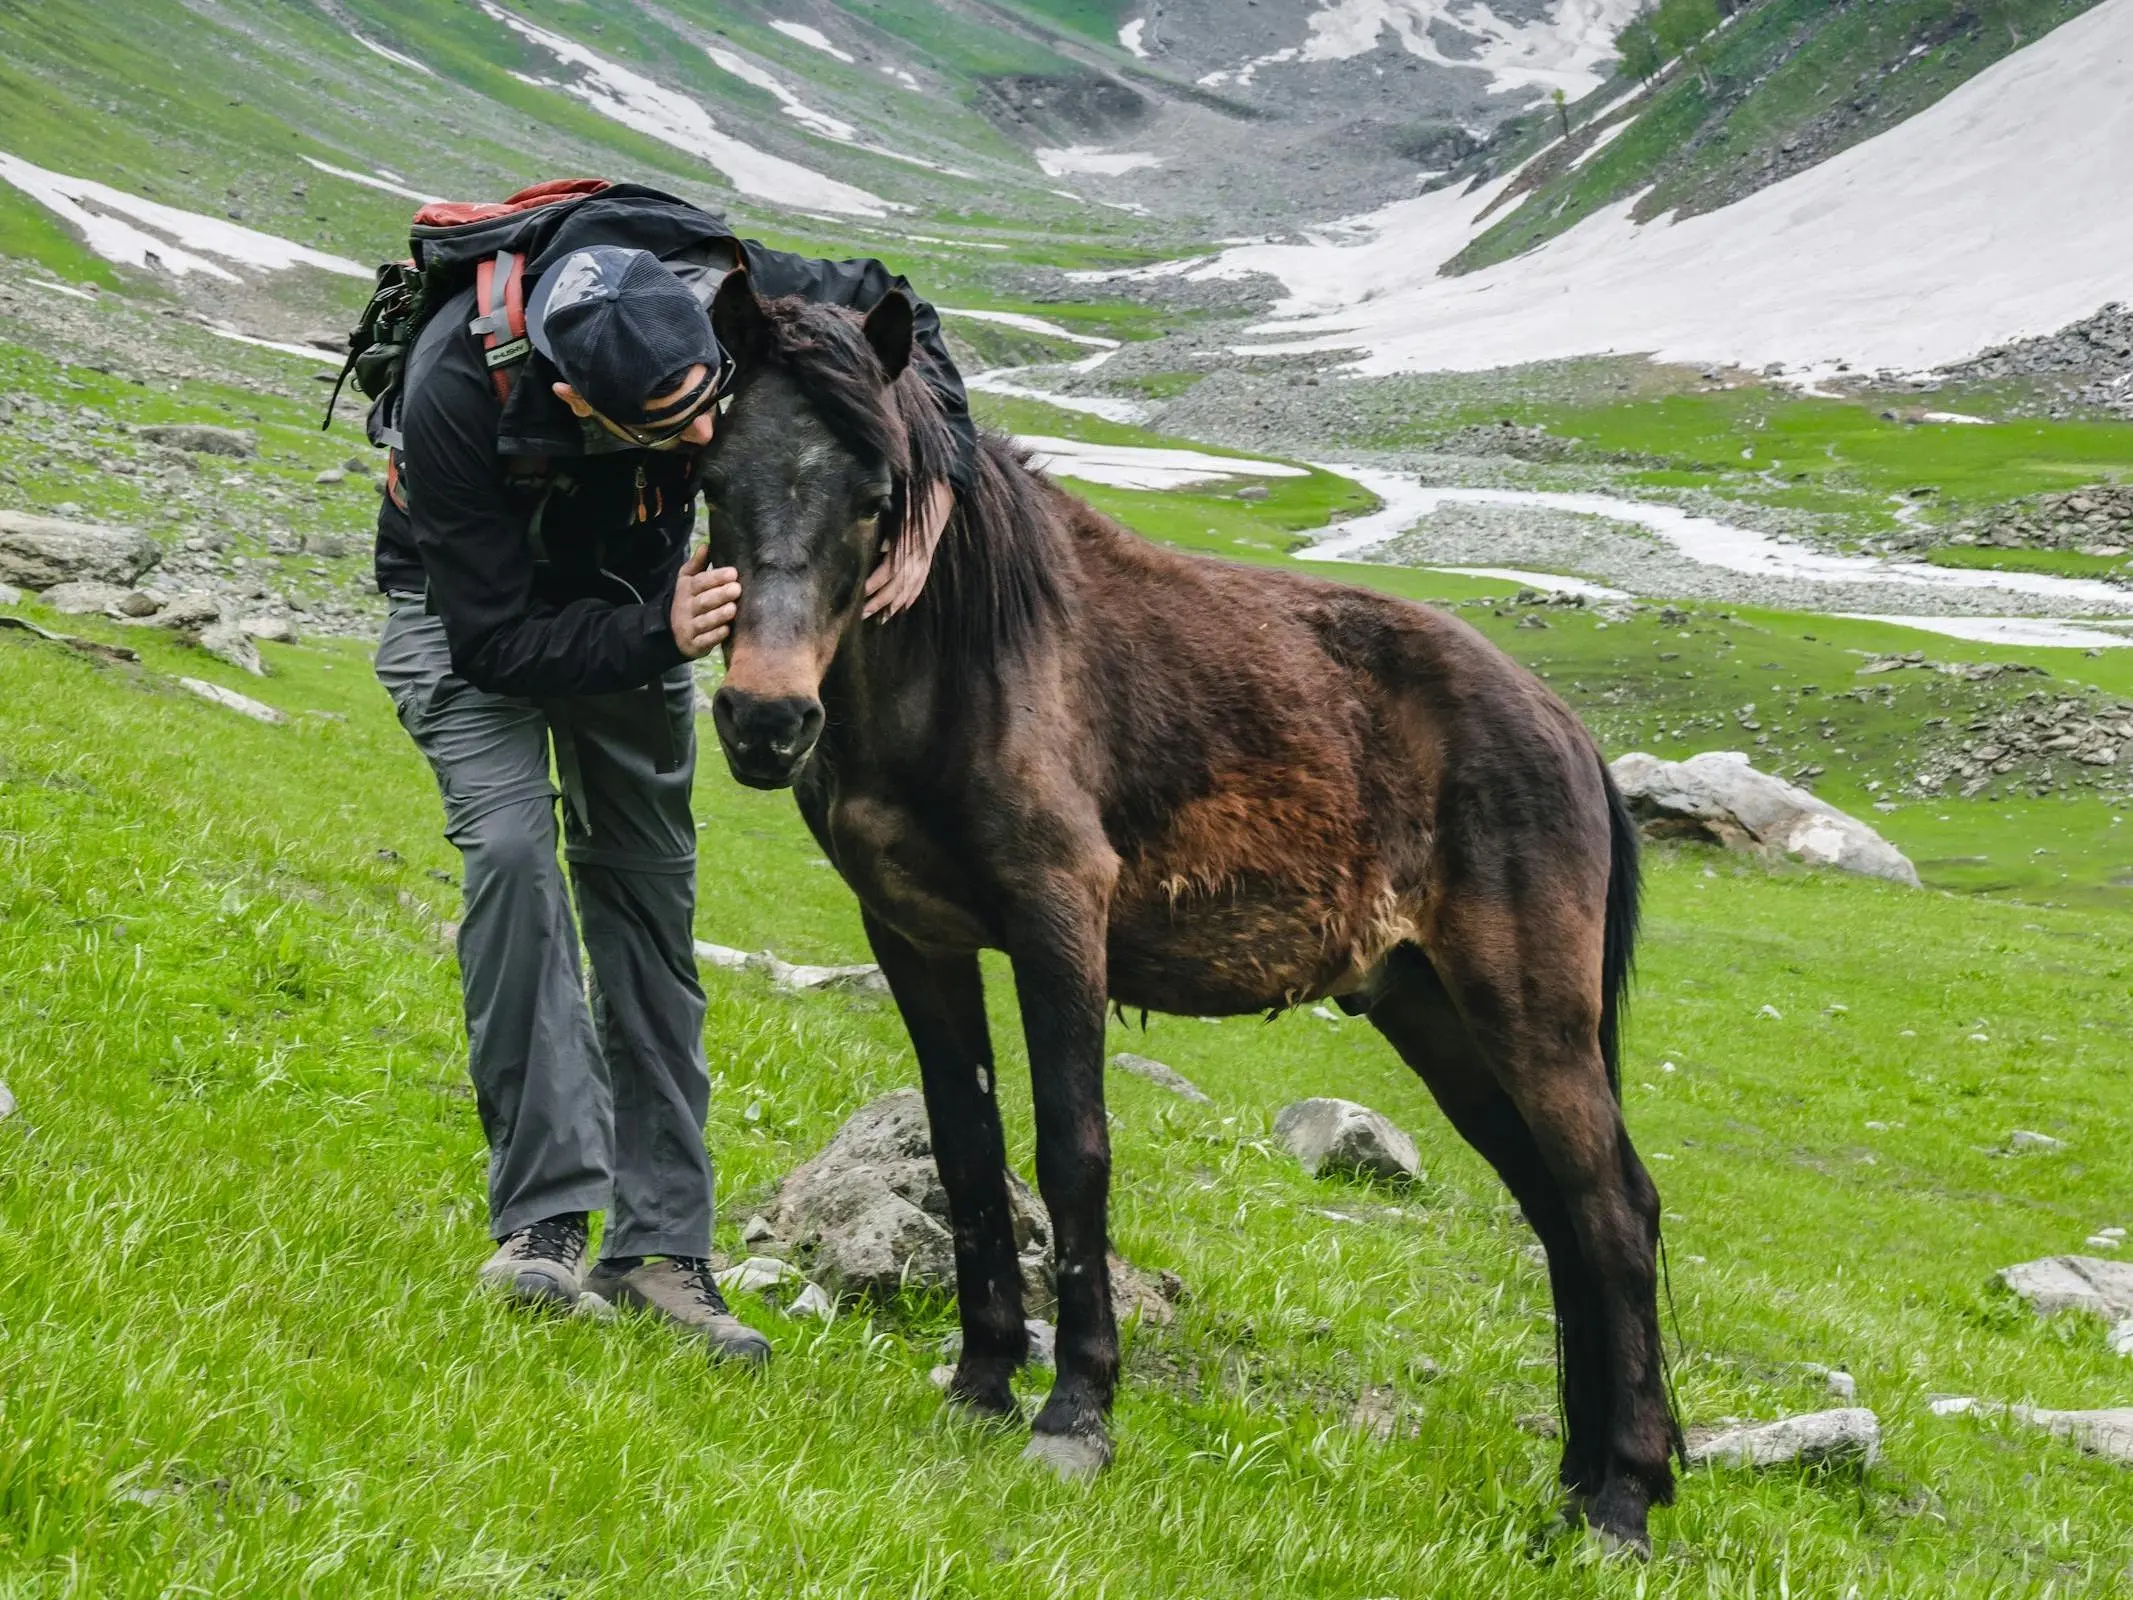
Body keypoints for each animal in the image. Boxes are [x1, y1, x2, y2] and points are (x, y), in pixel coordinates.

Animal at [697, 271, 1680, 1551]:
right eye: (714, 478)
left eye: (876, 499)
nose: (765, 722)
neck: (967, 660)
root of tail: (1567, 732)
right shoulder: (917, 941)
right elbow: (967, 1153)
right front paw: (981, 1382)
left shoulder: (1058, 922)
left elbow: (1071, 1151)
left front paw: (1075, 1410)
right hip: (1441, 1022)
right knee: (1562, 1215)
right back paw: (1581, 1479)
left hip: (1531, 1018)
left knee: (1614, 1212)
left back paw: (1623, 1497)